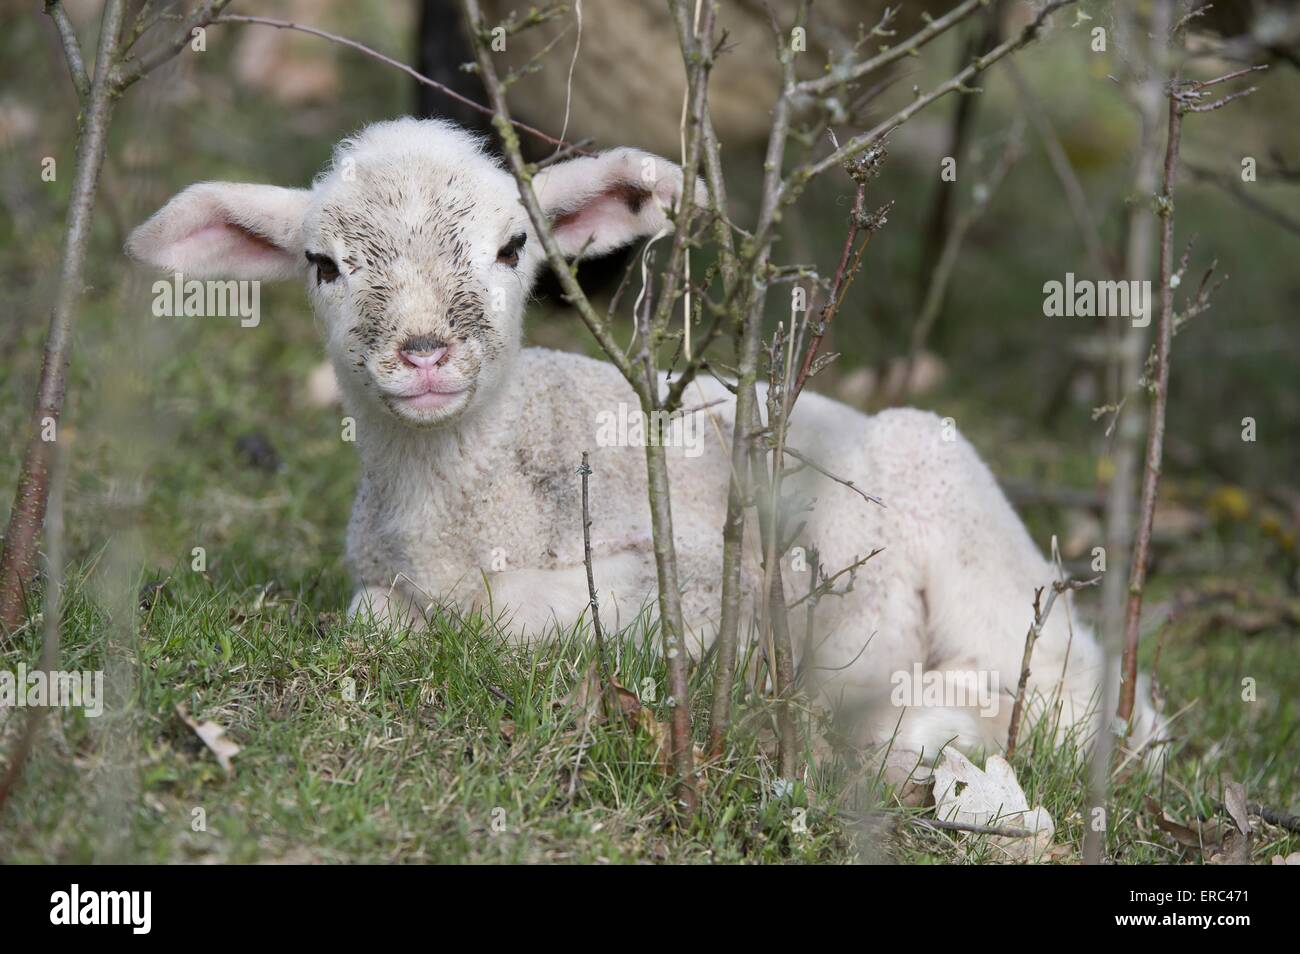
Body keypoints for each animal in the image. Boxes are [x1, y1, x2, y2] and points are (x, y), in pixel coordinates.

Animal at [127, 118, 1164, 766]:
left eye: (512, 248)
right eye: (324, 264)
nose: (423, 353)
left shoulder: (704, 579)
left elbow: (514, 613)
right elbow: (375, 615)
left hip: (960, 519)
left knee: (1091, 709)